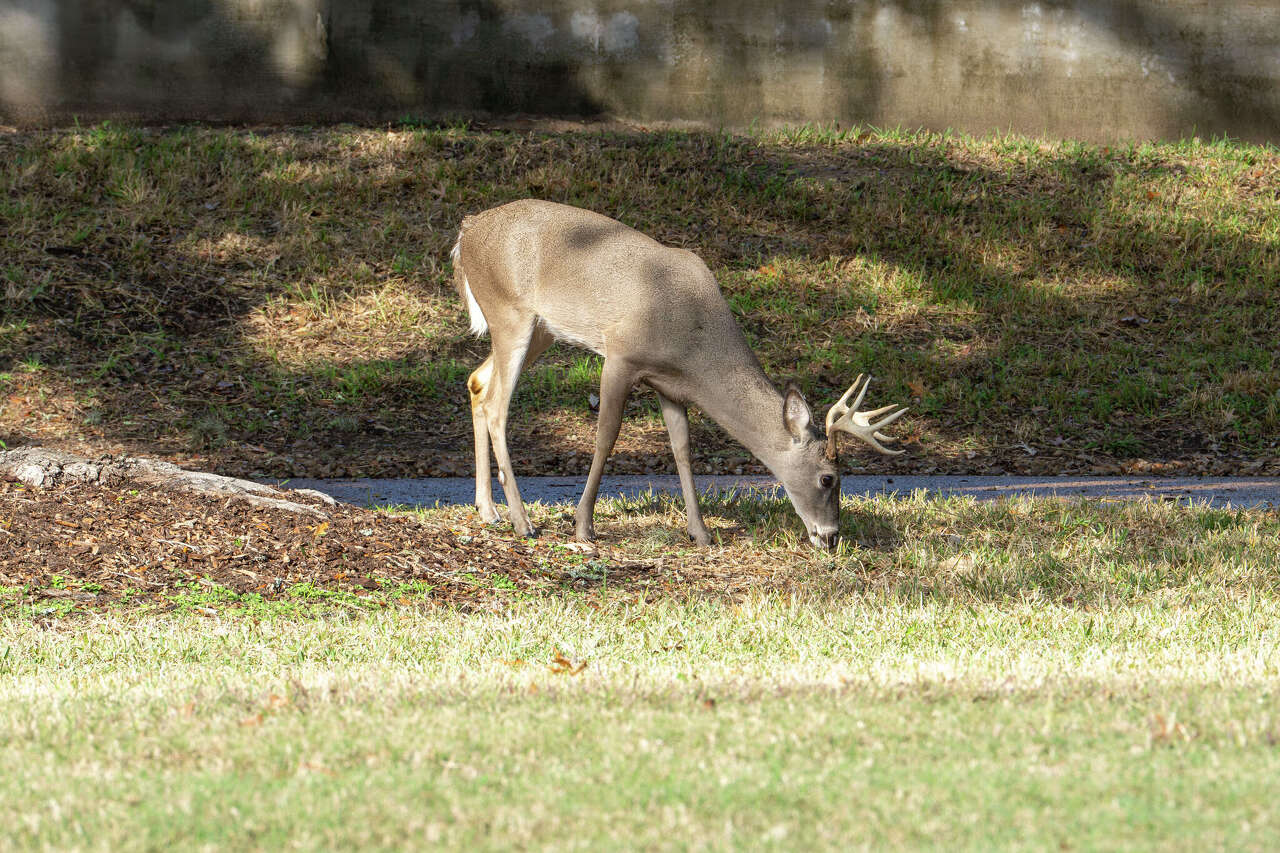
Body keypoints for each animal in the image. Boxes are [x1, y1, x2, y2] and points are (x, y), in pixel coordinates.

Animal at [449, 199, 907, 550]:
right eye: (829, 478)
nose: (830, 537)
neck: (693, 339)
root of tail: (467, 230)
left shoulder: (670, 385)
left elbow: (683, 449)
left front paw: (700, 532)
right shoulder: (620, 356)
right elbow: (606, 437)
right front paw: (584, 527)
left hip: (540, 329)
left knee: (477, 382)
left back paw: (488, 510)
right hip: (509, 311)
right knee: (497, 405)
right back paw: (521, 520)